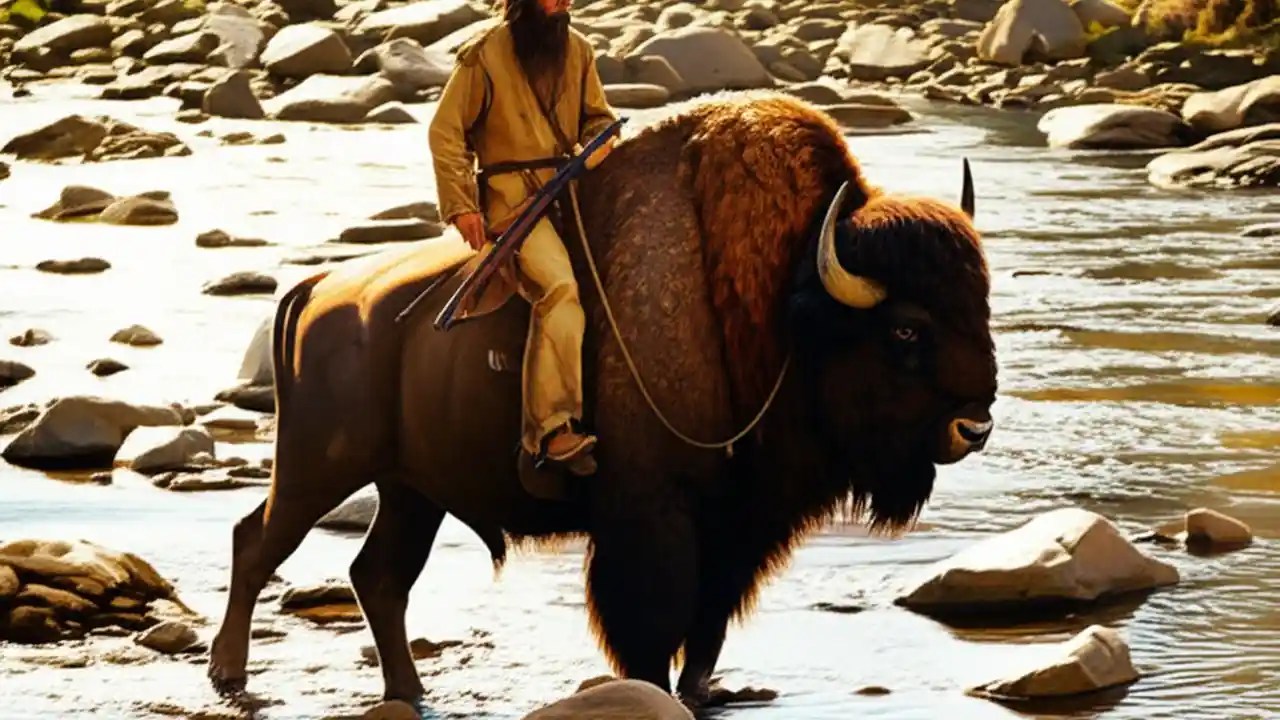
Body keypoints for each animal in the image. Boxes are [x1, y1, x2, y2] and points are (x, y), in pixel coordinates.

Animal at [207, 92, 997, 710]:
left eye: (979, 308)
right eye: (906, 328)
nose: (976, 425)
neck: (777, 306)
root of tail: (317, 290)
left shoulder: (738, 526)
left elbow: (706, 630)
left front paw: (704, 691)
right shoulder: (652, 517)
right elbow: (650, 627)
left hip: (411, 492)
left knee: (376, 577)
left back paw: (409, 691)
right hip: (317, 470)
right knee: (257, 542)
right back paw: (228, 673)